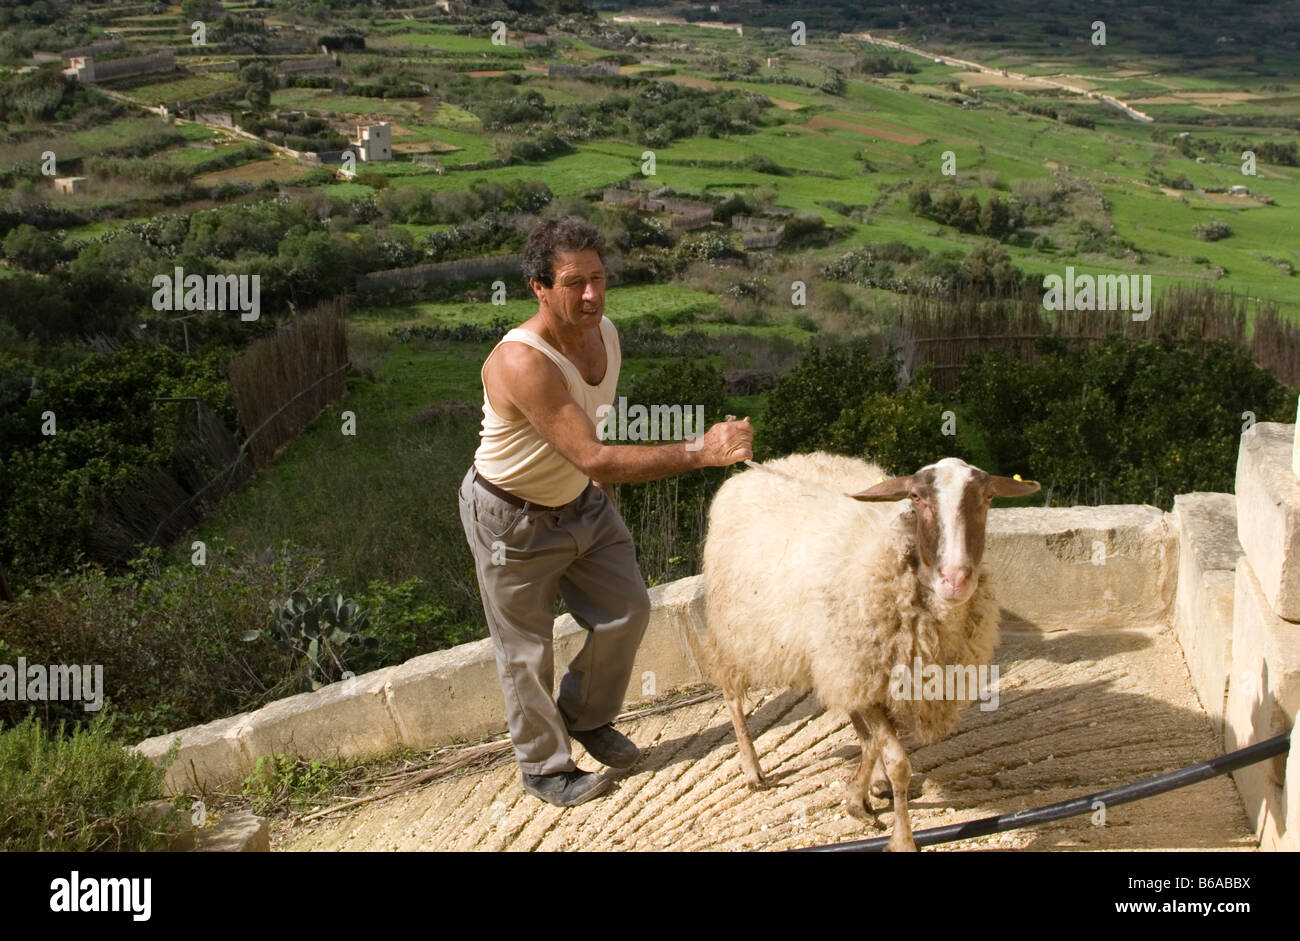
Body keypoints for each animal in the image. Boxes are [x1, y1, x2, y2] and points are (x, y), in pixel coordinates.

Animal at [700, 451, 1040, 851]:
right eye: (917, 499)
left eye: (987, 498)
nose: (955, 579)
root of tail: (770, 464)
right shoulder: (862, 673)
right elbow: (897, 761)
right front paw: (901, 837)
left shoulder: (868, 674)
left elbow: (874, 742)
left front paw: (860, 797)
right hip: (735, 630)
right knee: (732, 696)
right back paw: (753, 769)